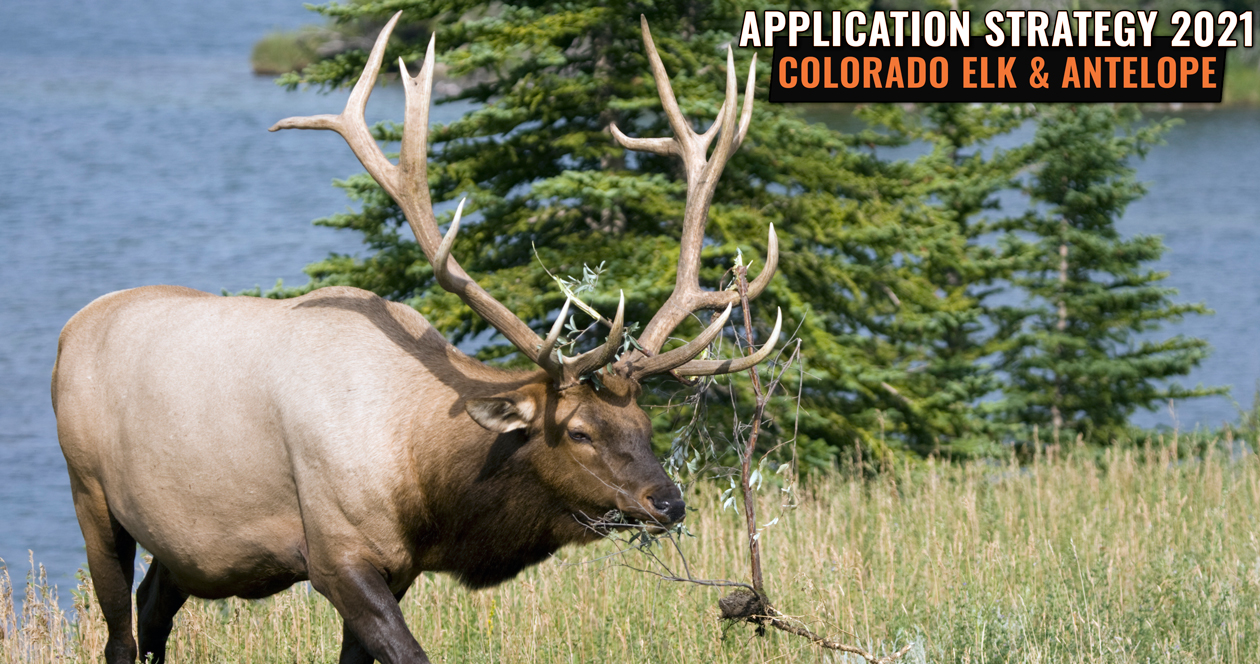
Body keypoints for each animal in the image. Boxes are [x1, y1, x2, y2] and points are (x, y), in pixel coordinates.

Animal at [51, 12, 779, 664]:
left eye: (645, 427)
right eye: (577, 431)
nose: (668, 501)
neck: (423, 479)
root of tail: (69, 329)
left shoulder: (398, 566)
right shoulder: (336, 555)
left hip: (183, 547)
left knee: (153, 613)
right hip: (91, 497)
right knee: (120, 634)